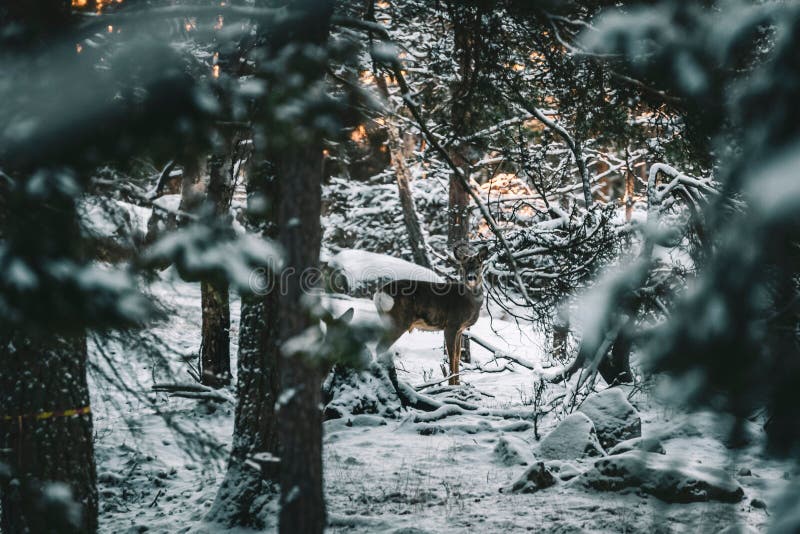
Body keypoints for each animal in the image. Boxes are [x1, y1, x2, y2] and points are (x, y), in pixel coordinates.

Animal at [373, 244, 489, 386]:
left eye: (478, 265)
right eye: (464, 266)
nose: (471, 277)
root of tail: (379, 294)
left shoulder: (460, 329)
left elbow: (457, 356)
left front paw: (458, 384)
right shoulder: (451, 325)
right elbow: (451, 355)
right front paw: (451, 385)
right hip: (398, 320)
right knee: (380, 348)